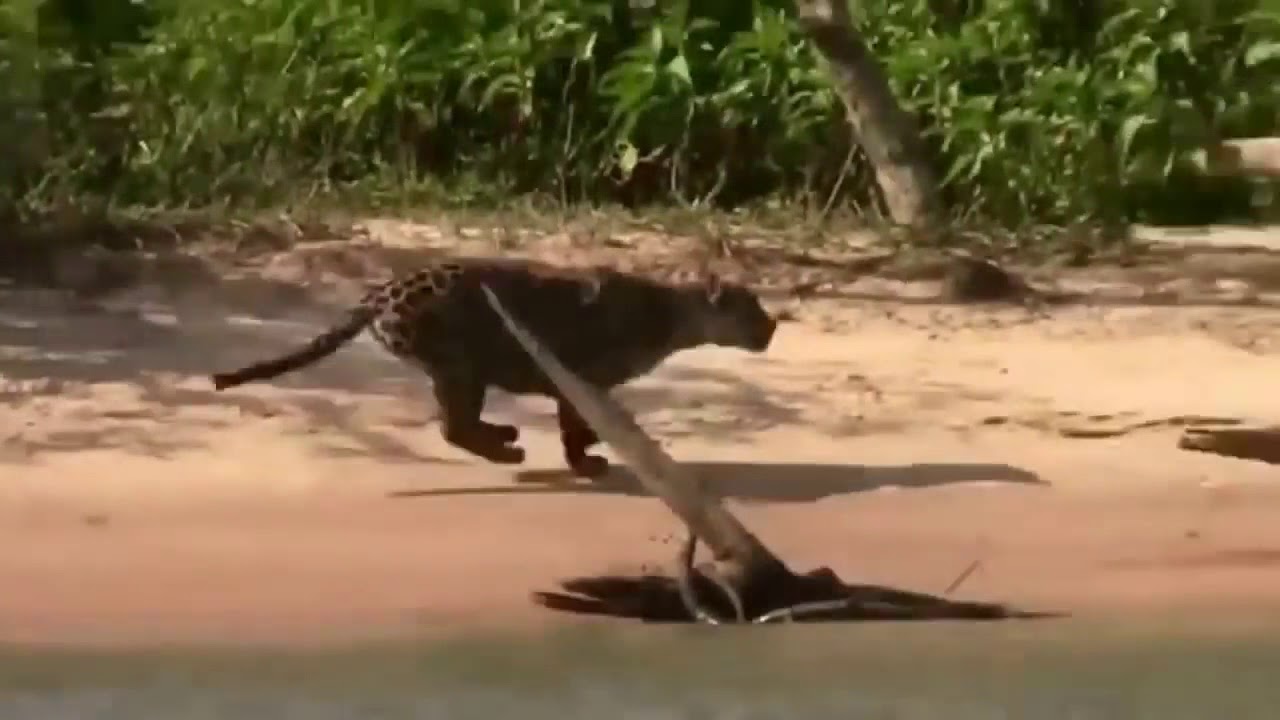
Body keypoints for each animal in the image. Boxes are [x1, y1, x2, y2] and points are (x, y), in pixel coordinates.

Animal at [209, 257, 778, 478]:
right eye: (751, 307)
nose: (773, 326)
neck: (674, 317)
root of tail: (380, 291)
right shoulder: (580, 378)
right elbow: (575, 427)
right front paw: (587, 460)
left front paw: (592, 448)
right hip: (460, 365)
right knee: (453, 426)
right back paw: (509, 449)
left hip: (461, 371)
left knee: (457, 424)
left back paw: (505, 438)